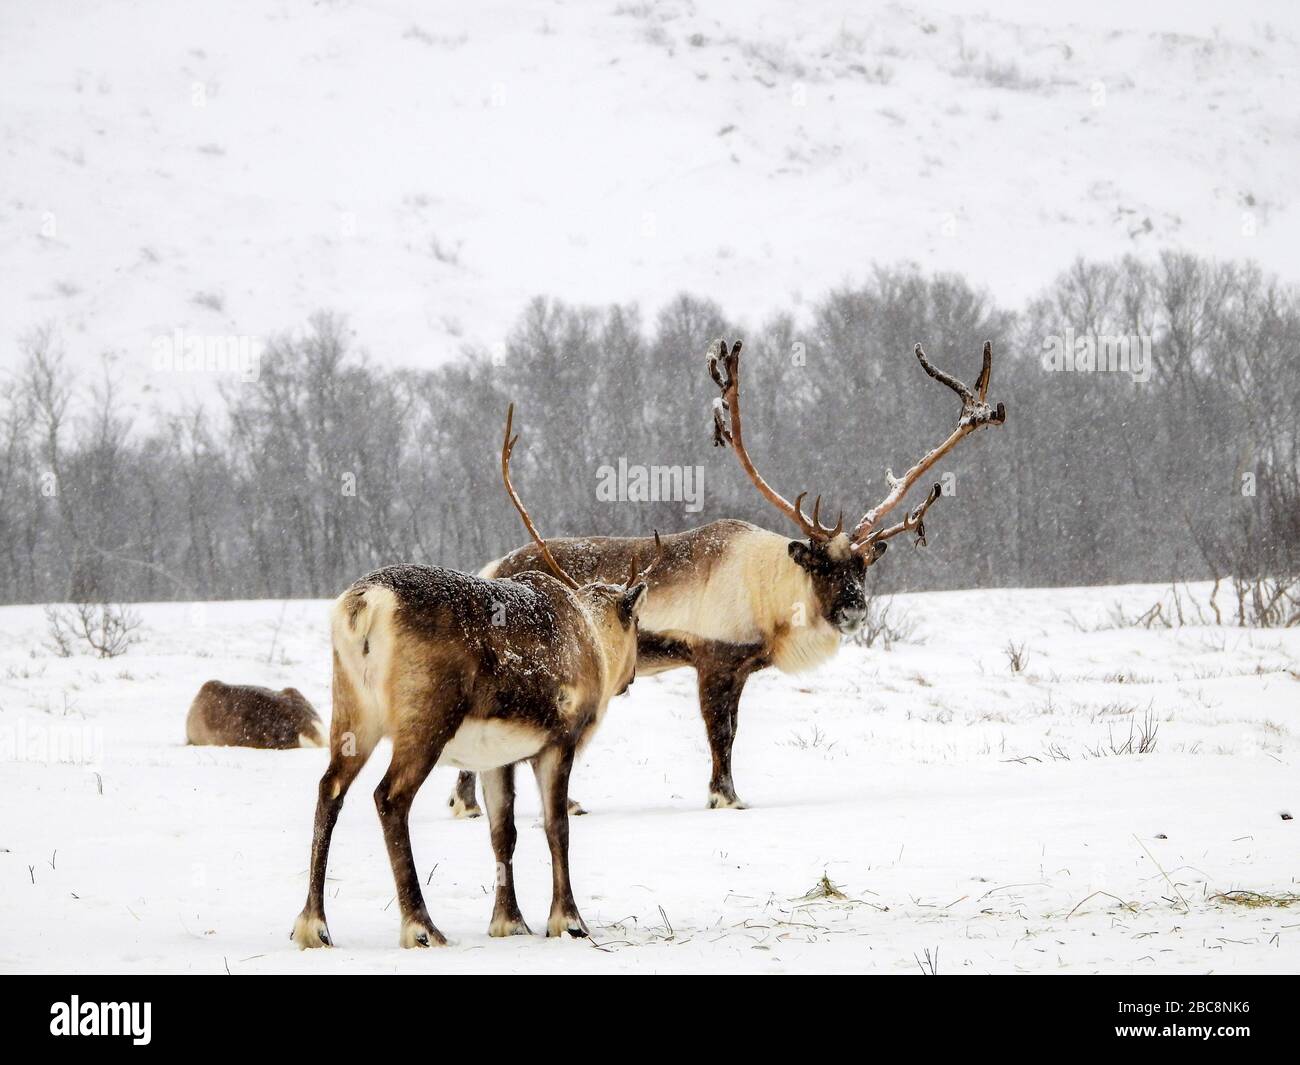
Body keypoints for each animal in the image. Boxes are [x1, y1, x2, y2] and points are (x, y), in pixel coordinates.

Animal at [291, 405, 659, 949]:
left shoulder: (495, 757)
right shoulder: (559, 740)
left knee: (329, 791)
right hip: (424, 720)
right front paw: (568, 920)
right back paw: (421, 926)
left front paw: (509, 921)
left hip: (353, 714)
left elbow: (502, 833)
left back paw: (313, 925)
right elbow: (555, 828)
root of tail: (364, 605)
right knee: (389, 798)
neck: (591, 638)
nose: (633, 673)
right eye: (636, 623)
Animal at [449, 337, 1006, 816]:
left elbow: (732, 732)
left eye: (863, 565)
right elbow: (720, 733)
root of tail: (490, 569)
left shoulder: (739, 669)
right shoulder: (713, 661)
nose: (854, 609)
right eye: (820, 564)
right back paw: (476, 804)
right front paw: (725, 797)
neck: (768, 593)